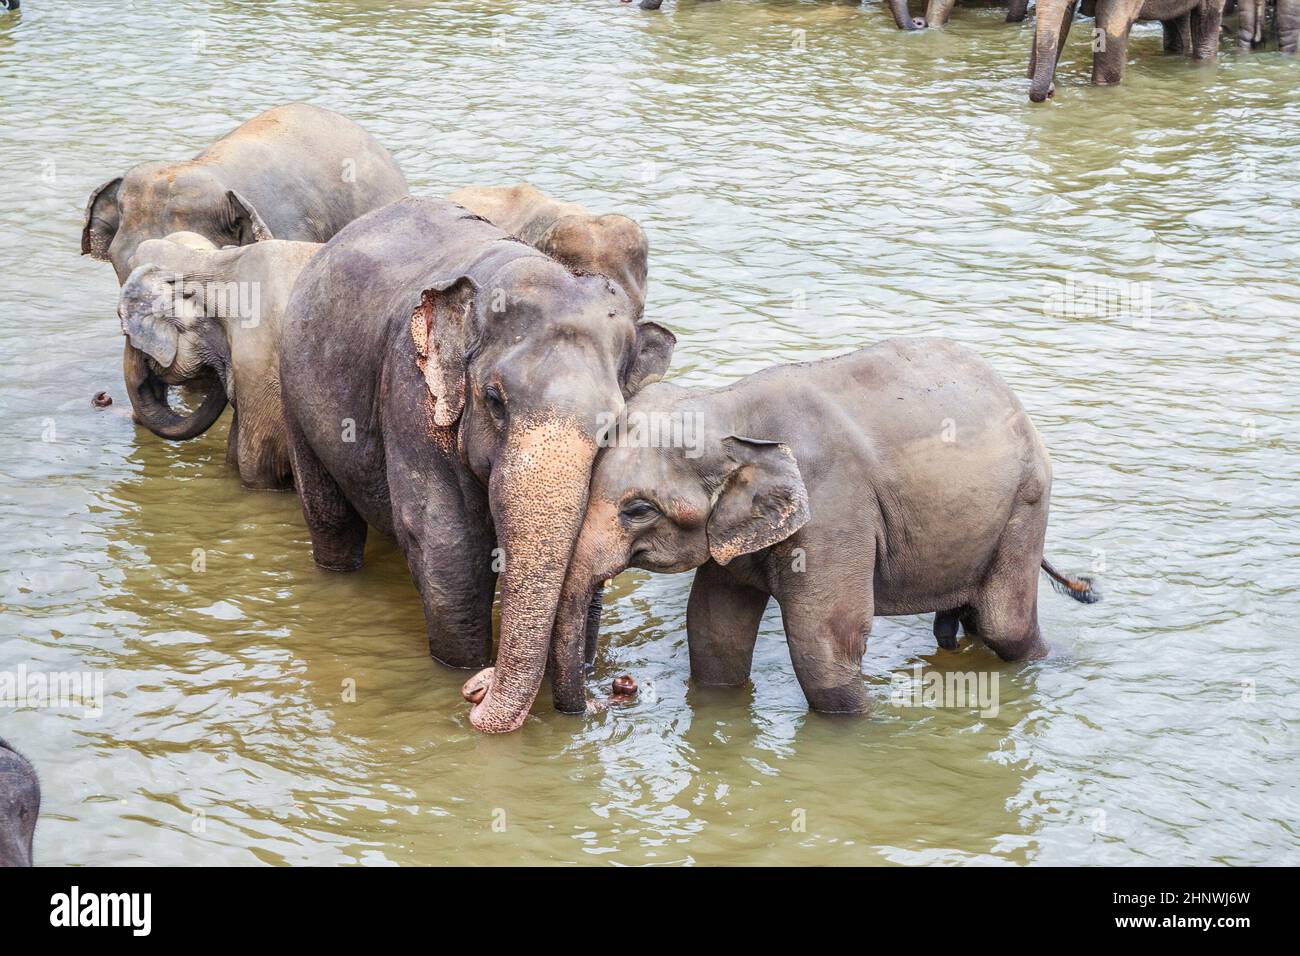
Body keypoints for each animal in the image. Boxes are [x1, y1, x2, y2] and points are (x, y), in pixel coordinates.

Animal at [466, 338, 1099, 722]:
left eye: (638, 510)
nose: (611, 696)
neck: (727, 407)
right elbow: (715, 630)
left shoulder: (834, 512)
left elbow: (826, 642)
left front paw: (861, 728)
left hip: (1026, 503)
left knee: (1005, 624)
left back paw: (1057, 662)